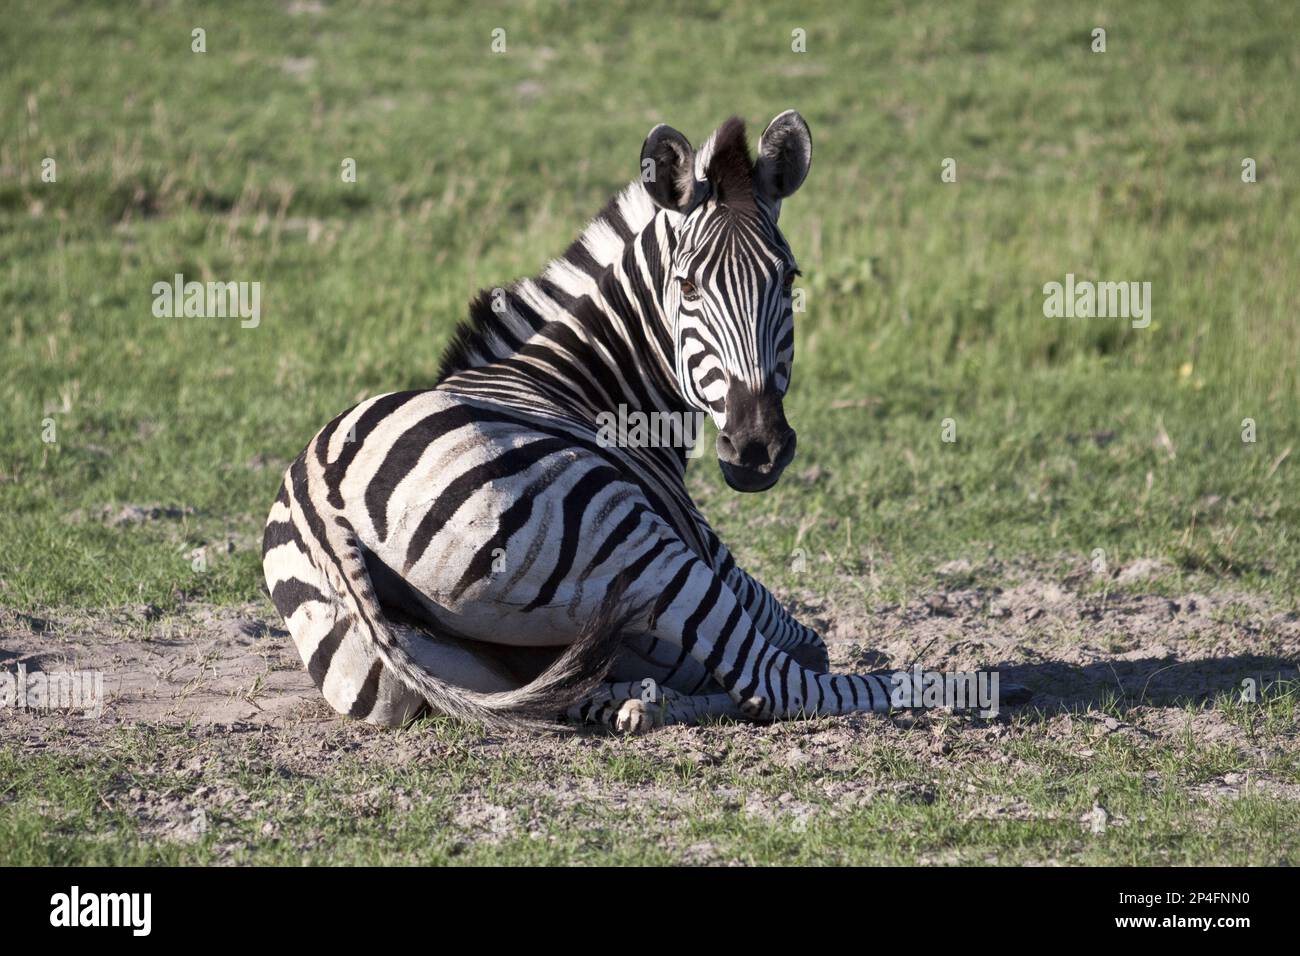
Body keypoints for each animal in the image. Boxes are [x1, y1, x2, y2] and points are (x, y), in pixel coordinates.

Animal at [262, 112, 1007, 731]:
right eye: (688, 285)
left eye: (789, 279)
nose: (758, 449)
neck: (581, 378)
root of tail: (324, 500)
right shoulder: (713, 553)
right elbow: (806, 646)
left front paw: (650, 695)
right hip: (633, 539)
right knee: (781, 684)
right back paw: (960, 689)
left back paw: (640, 701)